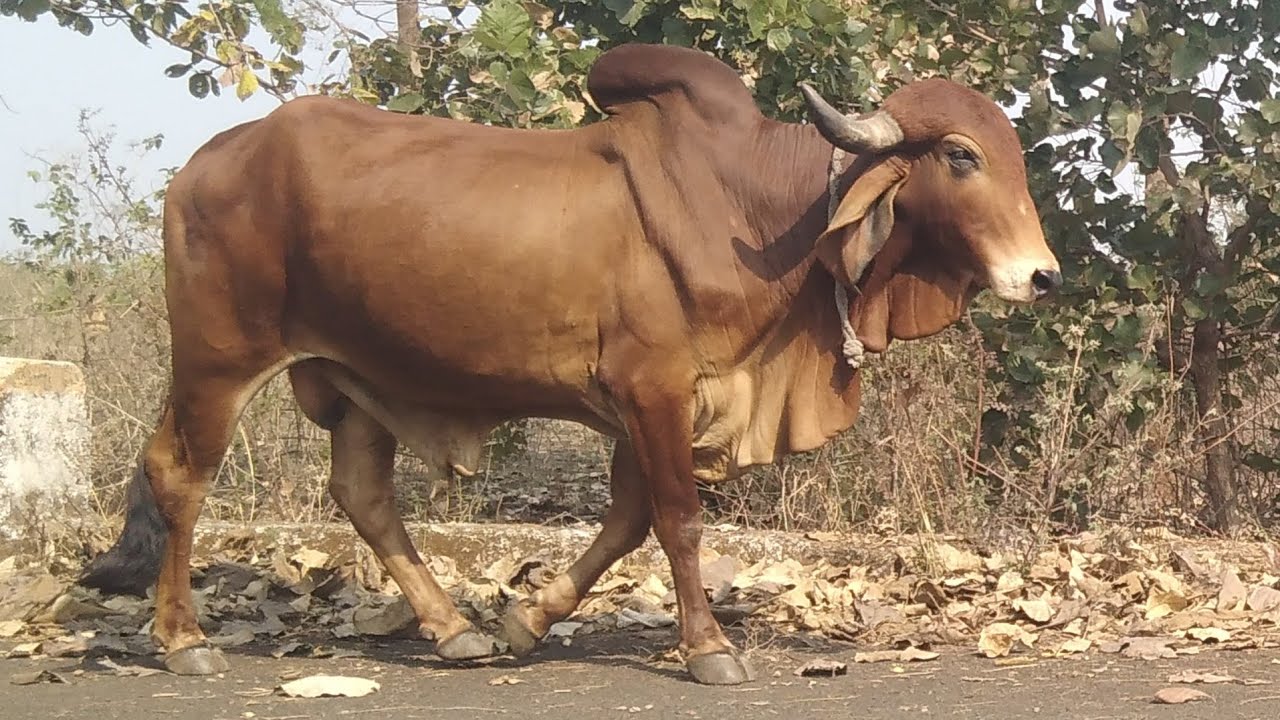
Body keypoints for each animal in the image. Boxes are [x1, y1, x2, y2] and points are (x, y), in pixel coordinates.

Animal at [78, 43, 1061, 685]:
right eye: (961, 156)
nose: (1043, 276)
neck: (756, 206)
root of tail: (201, 167)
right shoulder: (654, 387)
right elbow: (678, 520)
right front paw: (710, 650)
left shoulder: (650, 400)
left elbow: (627, 521)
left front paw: (526, 617)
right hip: (218, 361)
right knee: (181, 476)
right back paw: (182, 640)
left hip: (359, 382)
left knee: (361, 496)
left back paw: (453, 630)